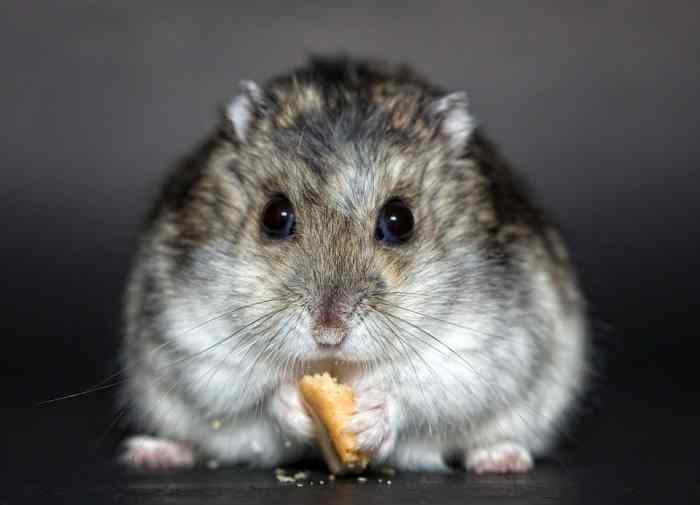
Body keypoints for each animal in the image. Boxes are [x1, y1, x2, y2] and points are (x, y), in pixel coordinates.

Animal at [119, 56, 589, 473]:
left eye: (400, 221)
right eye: (274, 216)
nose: (329, 334)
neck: (338, 366)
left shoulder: (481, 348)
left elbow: (419, 392)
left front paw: (369, 417)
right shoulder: (194, 340)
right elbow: (253, 392)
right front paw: (293, 403)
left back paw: (501, 460)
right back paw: (153, 452)